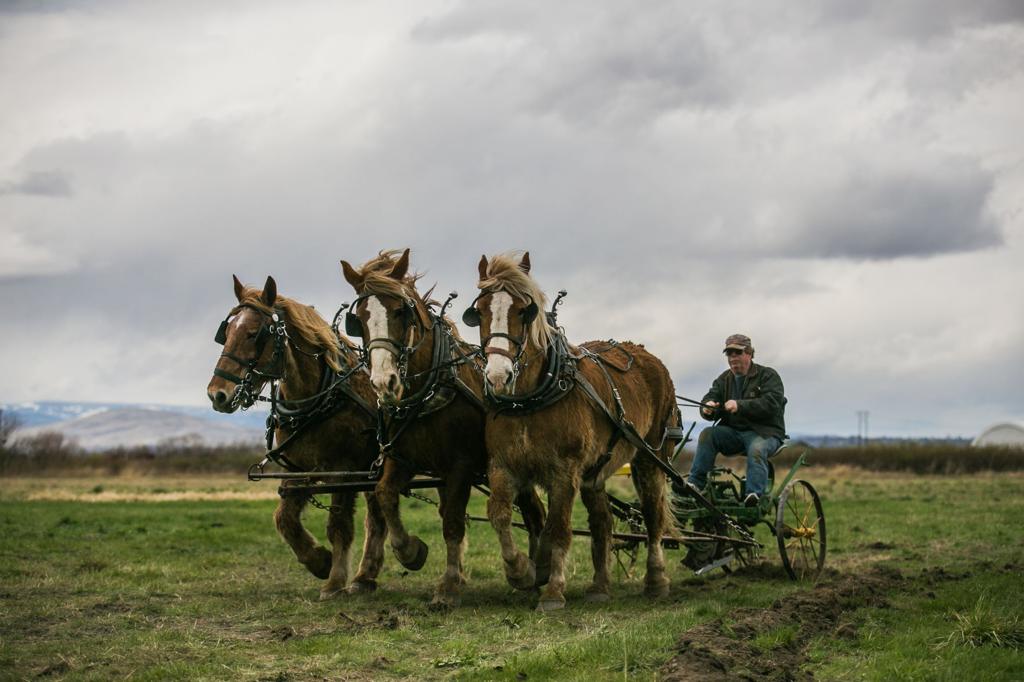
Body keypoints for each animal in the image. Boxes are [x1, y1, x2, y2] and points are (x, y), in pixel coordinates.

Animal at [206, 275, 387, 600]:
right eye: (225, 333)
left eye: (253, 334)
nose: (217, 394)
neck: (319, 396)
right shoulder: (297, 468)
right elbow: (285, 519)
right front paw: (318, 561)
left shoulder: (344, 470)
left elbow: (339, 525)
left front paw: (334, 581)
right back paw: (367, 575)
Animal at [340, 249, 546, 608]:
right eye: (360, 320)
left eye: (400, 311)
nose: (383, 382)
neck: (427, 392)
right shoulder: (400, 459)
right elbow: (385, 495)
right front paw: (410, 551)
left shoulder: (460, 467)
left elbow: (452, 522)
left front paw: (448, 586)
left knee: (534, 514)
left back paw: (529, 572)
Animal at [463, 252, 680, 611]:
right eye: (479, 311)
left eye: (523, 311)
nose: (497, 375)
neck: (529, 400)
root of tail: (647, 354)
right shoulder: (504, 466)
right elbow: (500, 516)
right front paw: (521, 571)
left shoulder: (564, 471)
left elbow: (558, 528)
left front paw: (552, 591)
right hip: (596, 470)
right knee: (603, 522)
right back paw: (600, 586)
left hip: (651, 457)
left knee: (653, 517)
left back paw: (656, 580)